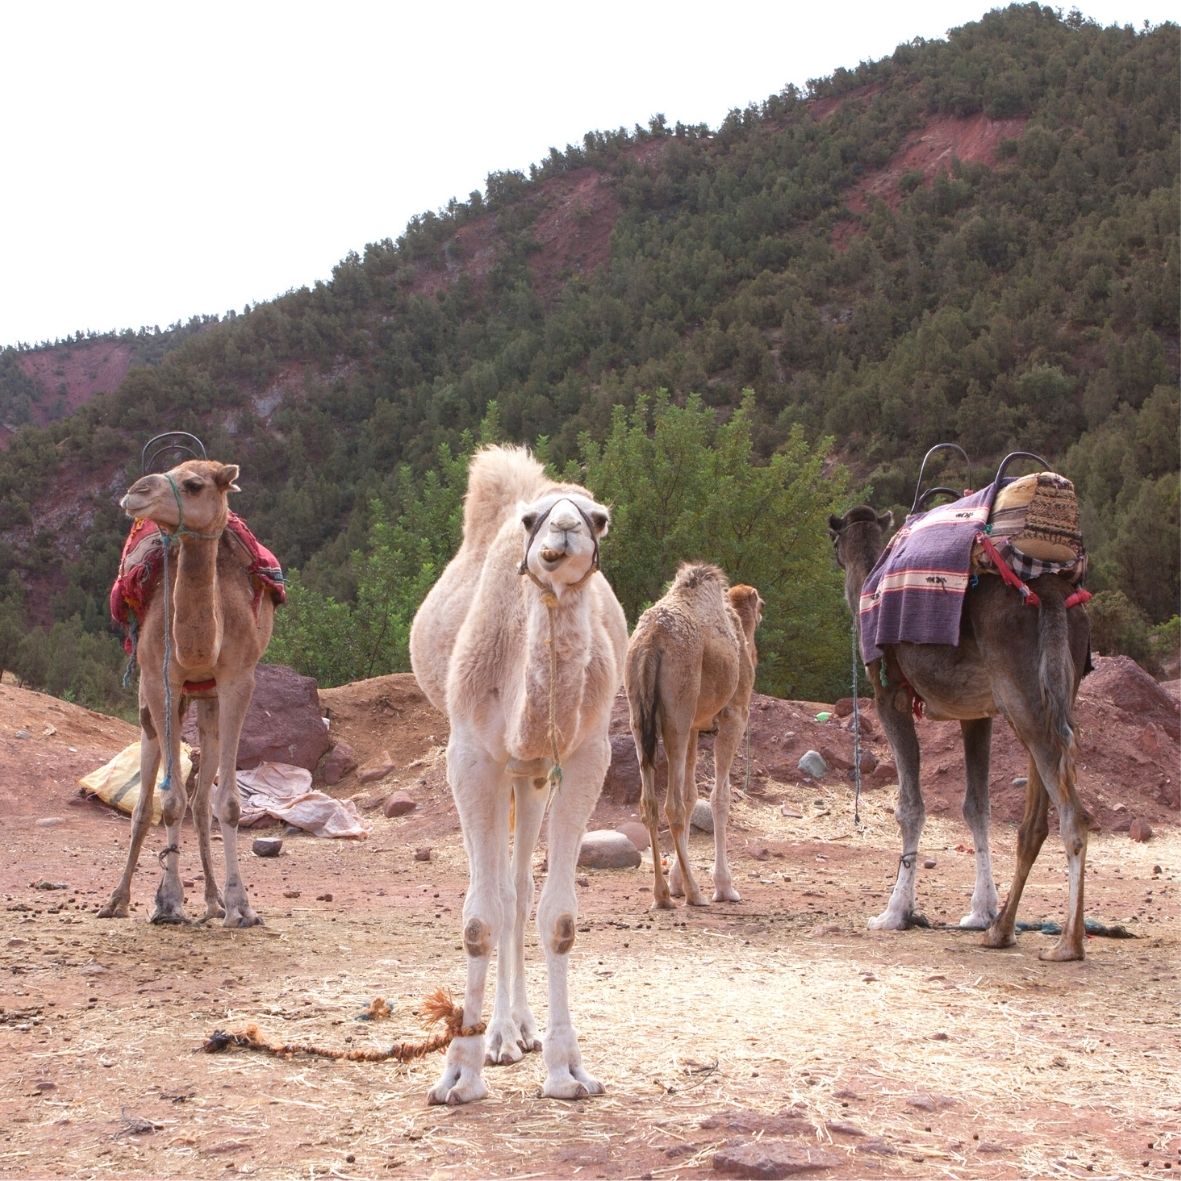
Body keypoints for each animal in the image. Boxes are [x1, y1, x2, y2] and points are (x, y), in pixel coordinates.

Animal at [99, 459, 275, 928]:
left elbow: (226, 804)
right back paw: (117, 900)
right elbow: (169, 802)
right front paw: (168, 902)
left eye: (194, 485)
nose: (136, 492)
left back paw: (213, 902)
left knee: (200, 803)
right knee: (145, 805)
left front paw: (240, 906)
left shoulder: (238, 679)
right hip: (151, 705)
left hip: (207, 701)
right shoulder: (162, 680)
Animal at [409, 444, 627, 1105]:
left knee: (520, 890)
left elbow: (558, 918)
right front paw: (459, 1073)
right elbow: (479, 919)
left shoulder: (586, 757)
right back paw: (499, 1037)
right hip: (506, 771)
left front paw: (567, 1070)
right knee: (503, 894)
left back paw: (519, 1031)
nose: (565, 530)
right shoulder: (470, 756)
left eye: (600, 518)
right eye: (532, 519)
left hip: (530, 778)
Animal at [625, 564, 763, 909]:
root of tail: (651, 640)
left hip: (641, 716)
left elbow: (691, 796)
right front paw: (724, 887)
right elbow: (719, 797)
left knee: (650, 803)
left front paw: (676, 882)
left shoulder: (695, 727)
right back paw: (696, 893)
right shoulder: (734, 714)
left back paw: (663, 894)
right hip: (678, 708)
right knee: (671, 805)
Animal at [828, 505, 1092, 960]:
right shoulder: (977, 714)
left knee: (1071, 813)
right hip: (1052, 693)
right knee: (1038, 816)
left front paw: (894, 913)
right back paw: (1001, 929)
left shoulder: (889, 697)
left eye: (833, 543)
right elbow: (976, 806)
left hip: (1021, 696)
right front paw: (980, 911)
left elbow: (910, 806)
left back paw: (1066, 944)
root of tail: (1054, 594)